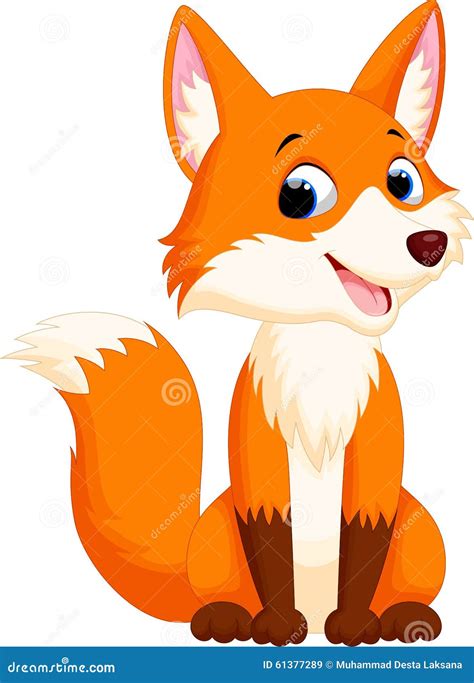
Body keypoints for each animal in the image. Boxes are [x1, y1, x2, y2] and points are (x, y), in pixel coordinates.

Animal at [7, 1, 471, 647]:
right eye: (301, 193)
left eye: (403, 181)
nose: (427, 244)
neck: (319, 354)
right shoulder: (257, 462)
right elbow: (270, 541)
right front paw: (276, 627)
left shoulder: (378, 464)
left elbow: (366, 544)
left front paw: (356, 625)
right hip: (214, 533)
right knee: (219, 591)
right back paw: (230, 617)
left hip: (422, 526)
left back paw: (402, 618)